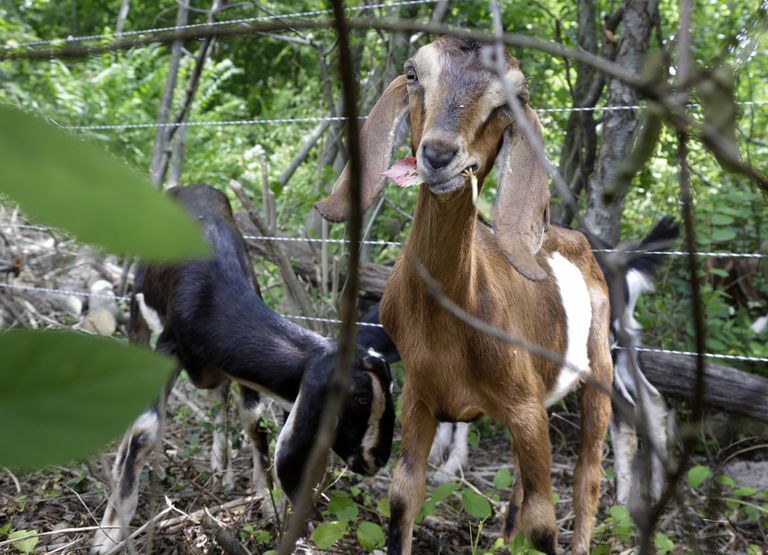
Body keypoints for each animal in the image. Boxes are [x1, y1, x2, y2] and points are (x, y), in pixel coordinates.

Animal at [93, 184, 395, 553]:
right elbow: (145, 429)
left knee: (218, 396)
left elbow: (255, 422)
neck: (212, 296)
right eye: (360, 398)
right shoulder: (168, 346)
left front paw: (269, 502)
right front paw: (108, 533)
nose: (377, 459)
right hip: (140, 310)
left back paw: (219, 466)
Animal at [317, 37, 613, 554]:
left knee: (587, 474)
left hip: (600, 373)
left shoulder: (524, 408)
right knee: (521, 483)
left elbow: (544, 522)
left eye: (510, 100)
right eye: (413, 74)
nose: (437, 154)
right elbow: (403, 495)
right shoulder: (420, 396)